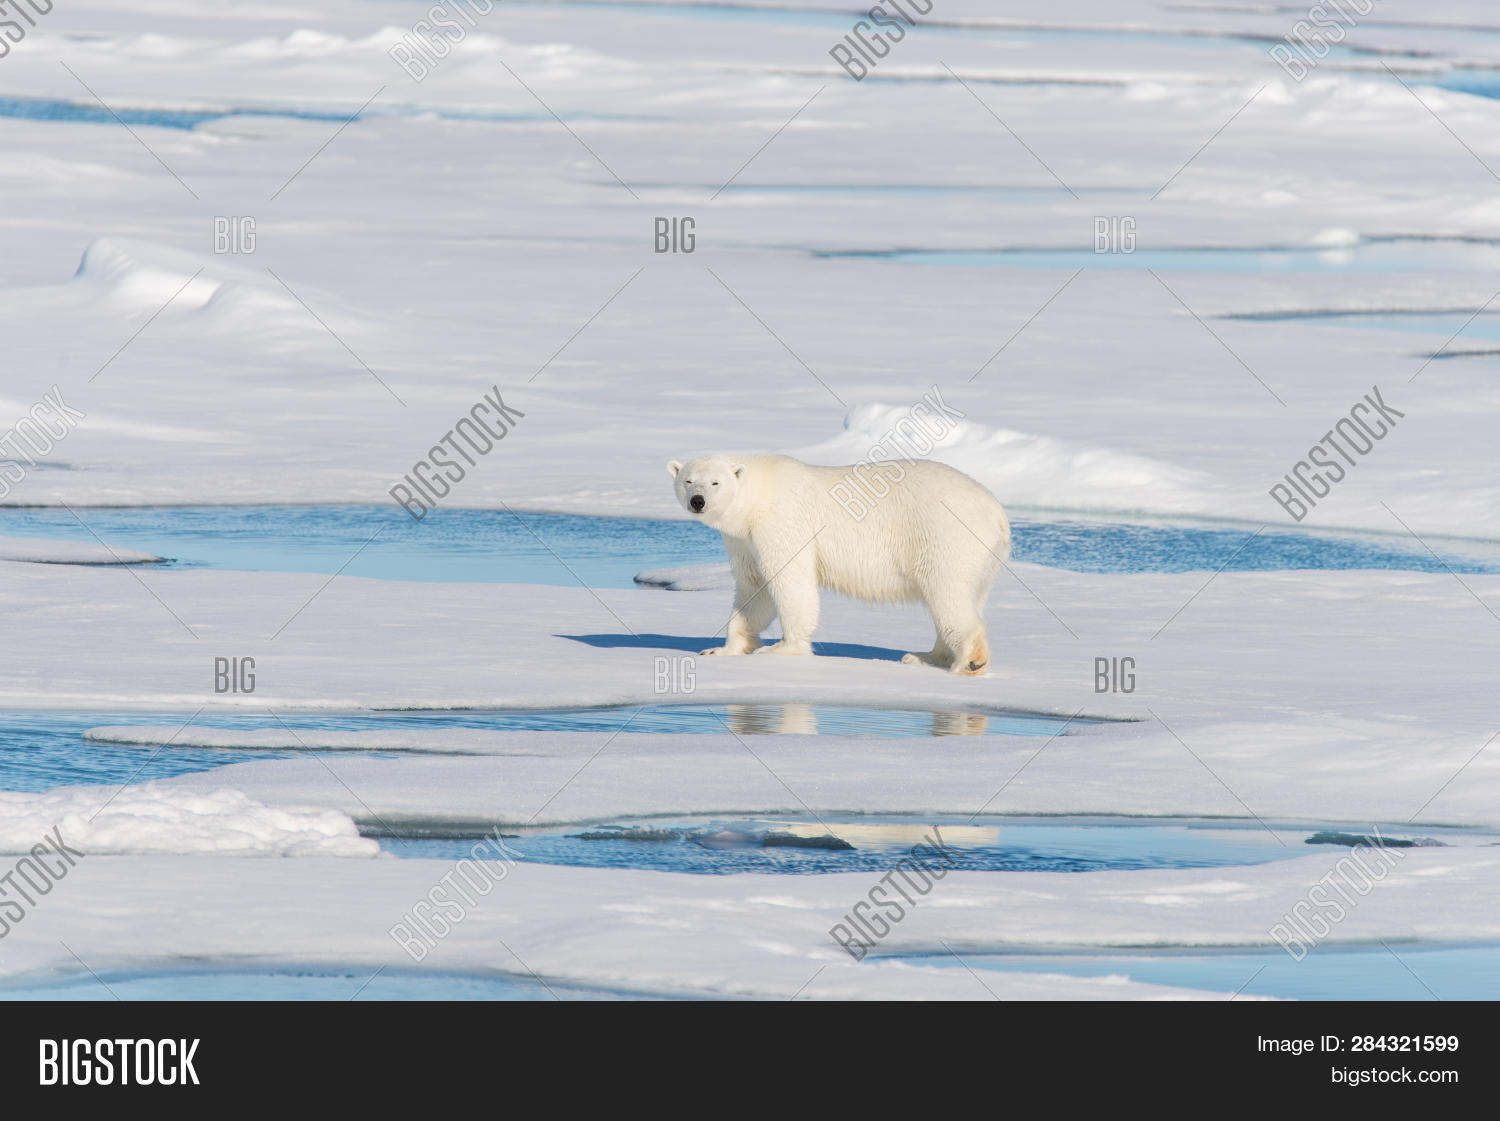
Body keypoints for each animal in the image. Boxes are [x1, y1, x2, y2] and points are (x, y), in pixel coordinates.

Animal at [666, 453, 1011, 675]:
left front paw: (782, 648)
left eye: (715, 483)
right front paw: (721, 650)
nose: (698, 501)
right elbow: (754, 586)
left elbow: (789, 580)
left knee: (947, 591)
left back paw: (968, 661)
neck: (759, 493)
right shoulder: (741, 539)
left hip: (945, 535)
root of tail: (997, 512)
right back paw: (926, 656)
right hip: (985, 557)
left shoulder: (781, 520)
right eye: (688, 480)